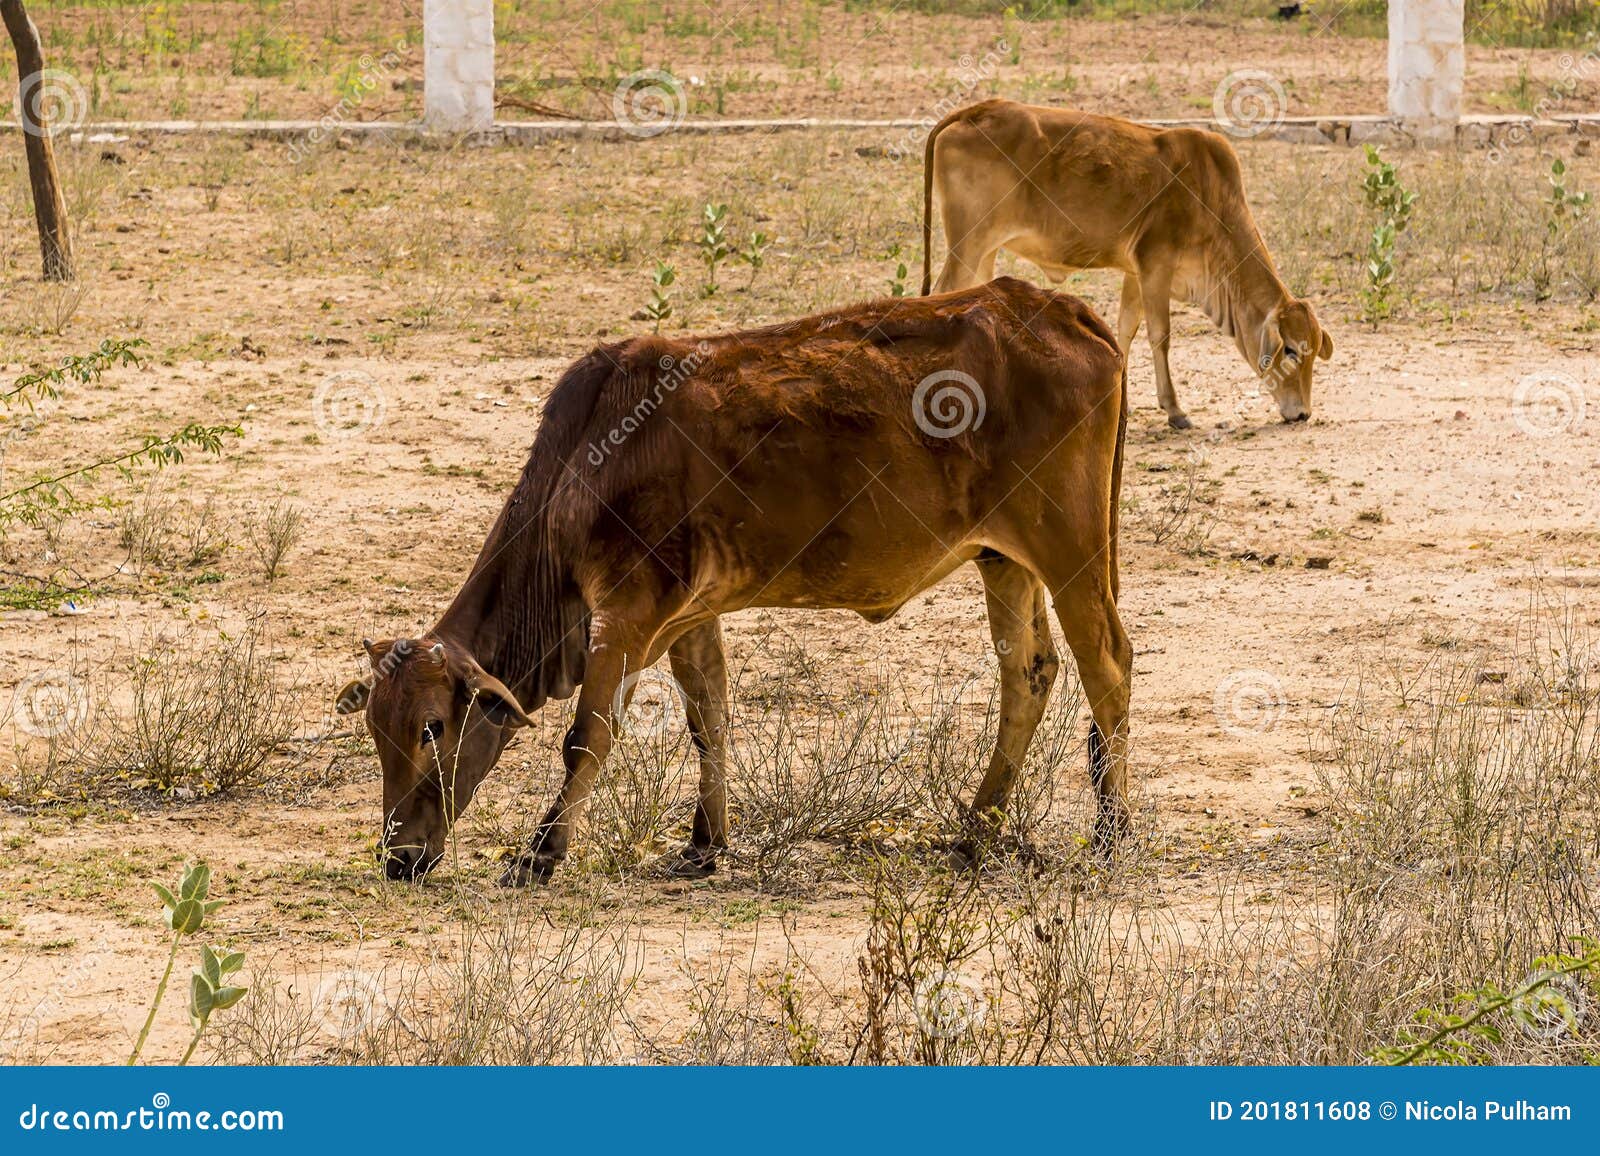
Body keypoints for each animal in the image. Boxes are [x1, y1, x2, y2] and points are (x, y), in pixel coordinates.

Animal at [334, 278, 1132, 885]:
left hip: (1071, 550)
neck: (584, 460)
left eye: (432, 727)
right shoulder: (690, 616)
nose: (398, 856)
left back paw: (1111, 834)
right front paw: (706, 842)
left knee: (1109, 668)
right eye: (374, 729)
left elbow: (587, 735)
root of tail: (1053, 305)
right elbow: (708, 717)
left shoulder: (627, 614)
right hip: (1004, 559)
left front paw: (542, 853)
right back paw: (975, 831)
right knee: (1029, 674)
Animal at [922, 99, 1333, 429]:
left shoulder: (1135, 273)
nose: (1302, 413)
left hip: (984, 251)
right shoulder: (1155, 267)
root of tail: (974, 110)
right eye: (1291, 350)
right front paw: (1175, 411)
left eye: (1313, 351)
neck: (1211, 200)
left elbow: (1124, 331)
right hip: (967, 243)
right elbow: (1160, 336)